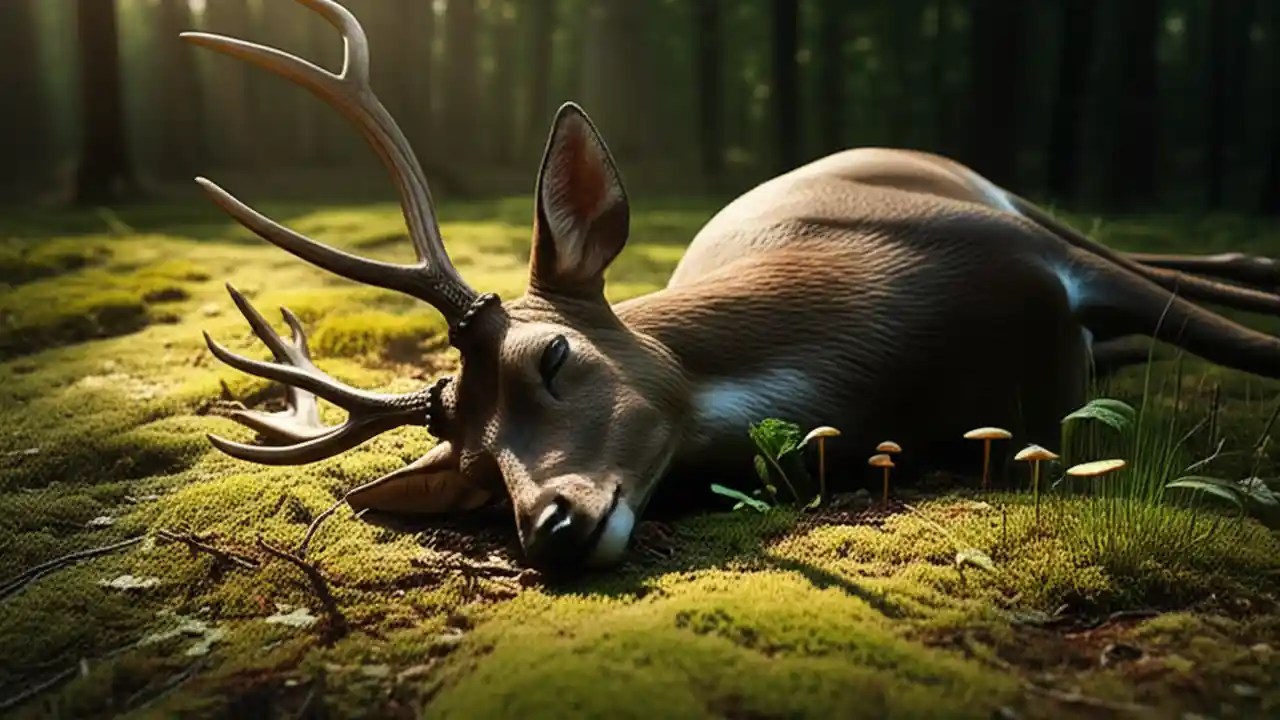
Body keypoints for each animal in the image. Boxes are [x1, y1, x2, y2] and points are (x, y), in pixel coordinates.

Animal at [188, 0, 1280, 573]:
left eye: (554, 354)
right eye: (474, 469)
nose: (549, 529)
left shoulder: (1024, 254)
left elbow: (1246, 343)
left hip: (1014, 206)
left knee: (1188, 266)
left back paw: (1257, 263)